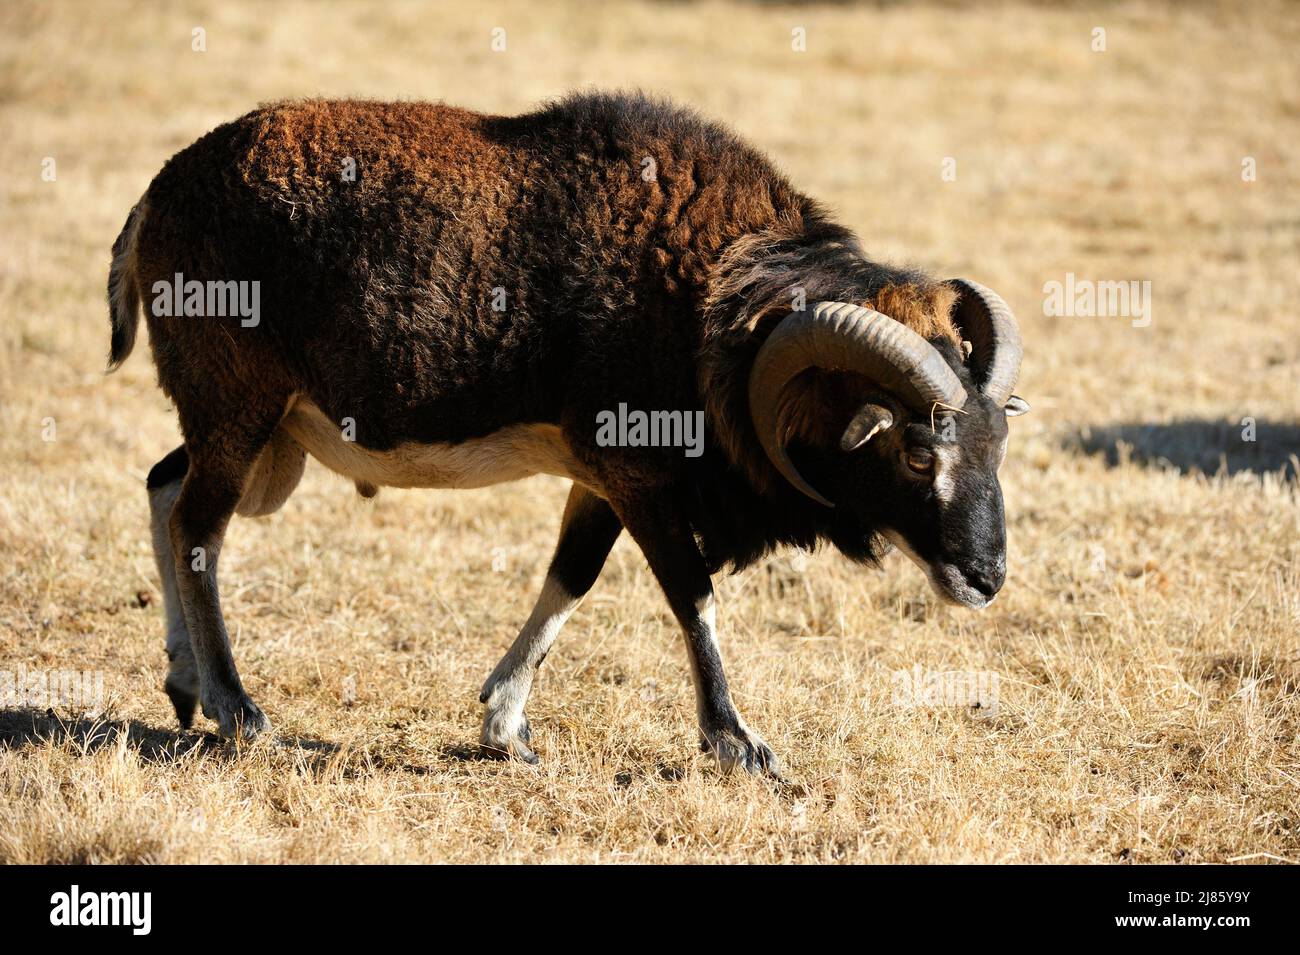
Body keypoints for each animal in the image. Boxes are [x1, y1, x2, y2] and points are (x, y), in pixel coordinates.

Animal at [108, 91, 1029, 776]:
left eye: (995, 443)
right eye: (917, 451)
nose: (986, 579)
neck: (702, 301)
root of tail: (156, 198)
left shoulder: (599, 485)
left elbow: (570, 579)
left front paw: (504, 727)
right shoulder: (639, 481)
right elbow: (692, 597)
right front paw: (740, 745)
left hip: (262, 436)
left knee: (163, 487)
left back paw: (185, 686)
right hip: (242, 415)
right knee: (197, 529)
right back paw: (237, 709)